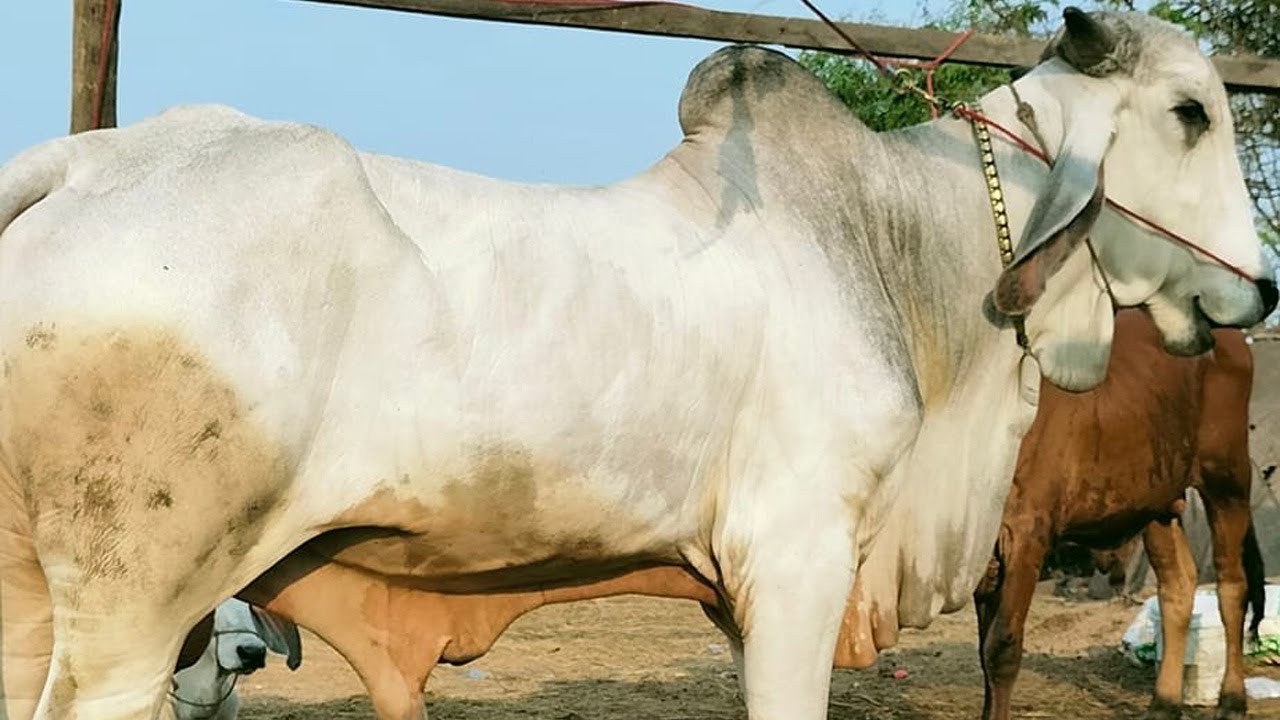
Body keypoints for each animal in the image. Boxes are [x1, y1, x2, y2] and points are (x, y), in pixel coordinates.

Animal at [974, 309, 1261, 720]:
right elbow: (984, 652)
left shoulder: (1026, 532)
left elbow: (1001, 648)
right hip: (1157, 500)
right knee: (1178, 585)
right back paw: (1165, 702)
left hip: (1227, 475)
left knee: (1232, 585)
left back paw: (1232, 699)